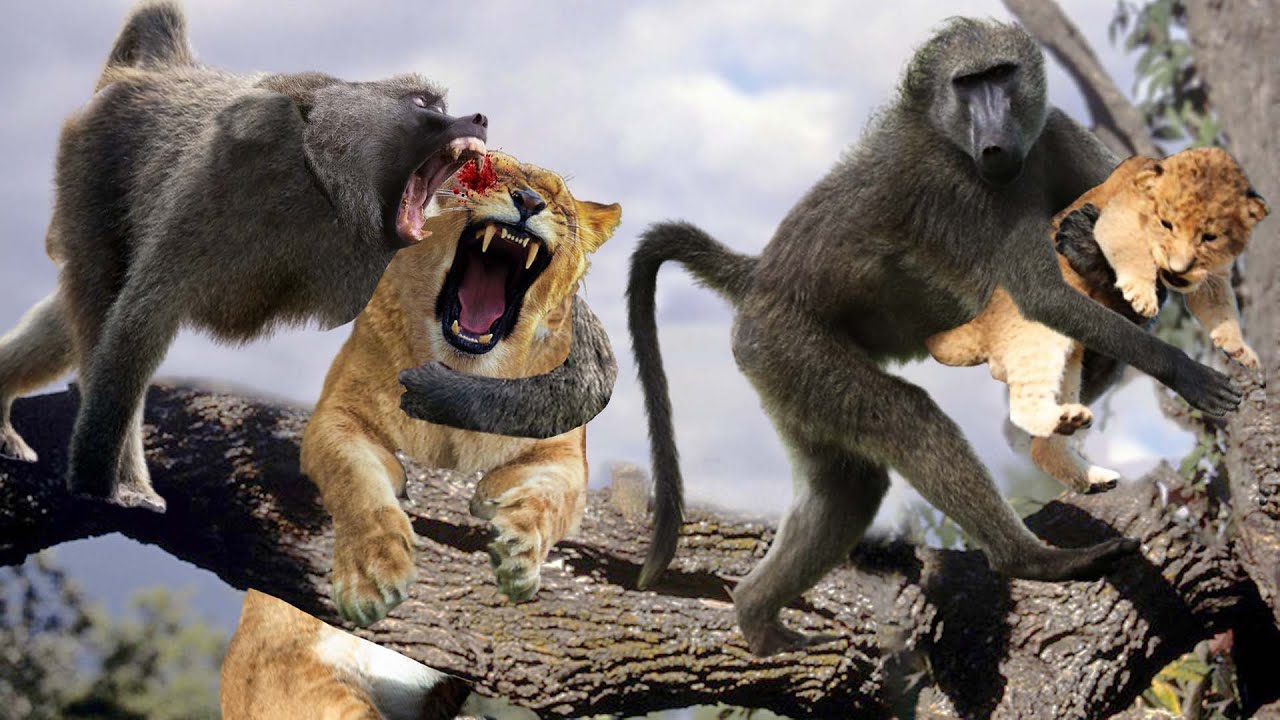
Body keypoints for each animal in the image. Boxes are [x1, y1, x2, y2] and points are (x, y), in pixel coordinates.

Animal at [0, 0, 490, 511]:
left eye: (442, 105)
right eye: (424, 104)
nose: (477, 119)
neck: (322, 184)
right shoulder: (216, 186)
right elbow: (141, 321)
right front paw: (96, 486)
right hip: (91, 166)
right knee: (100, 304)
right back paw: (123, 480)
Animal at [300, 151, 621, 626]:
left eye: (557, 199)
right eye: (480, 174)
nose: (528, 200)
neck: (461, 374)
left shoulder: (563, 455)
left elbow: (548, 498)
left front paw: (518, 550)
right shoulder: (336, 416)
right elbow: (355, 480)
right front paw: (371, 576)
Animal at [927, 146, 1268, 494]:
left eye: (1210, 236)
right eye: (1167, 224)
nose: (1178, 268)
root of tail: (978, 324)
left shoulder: (1213, 274)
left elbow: (1218, 303)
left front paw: (1238, 348)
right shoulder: (1118, 217)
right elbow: (1128, 251)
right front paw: (1142, 295)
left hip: (1068, 367)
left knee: (1041, 445)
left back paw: (1090, 469)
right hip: (1041, 341)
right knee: (1023, 408)